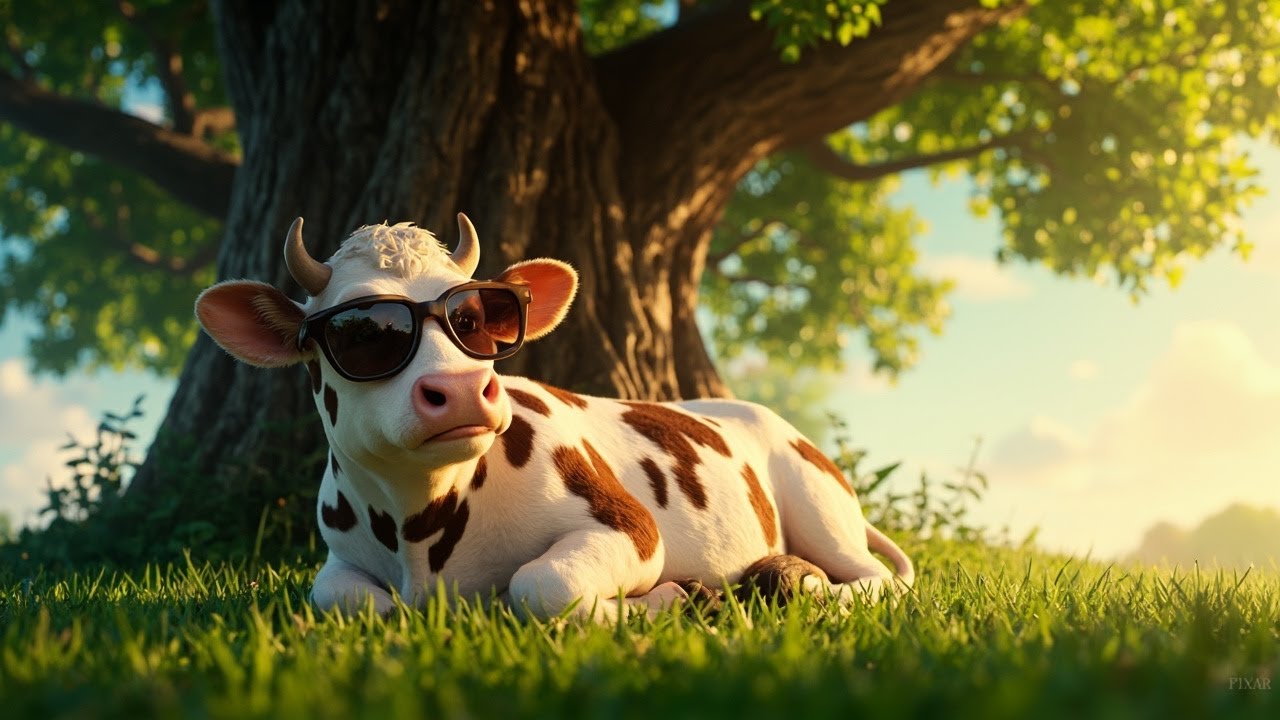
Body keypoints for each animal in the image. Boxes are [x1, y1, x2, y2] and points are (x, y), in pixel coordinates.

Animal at [194, 214, 914, 620]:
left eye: (474, 317)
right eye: (361, 331)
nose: (461, 389)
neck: (424, 531)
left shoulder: (629, 526)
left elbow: (541, 583)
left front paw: (667, 601)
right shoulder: (338, 557)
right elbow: (351, 601)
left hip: (819, 507)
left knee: (882, 581)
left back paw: (803, 585)